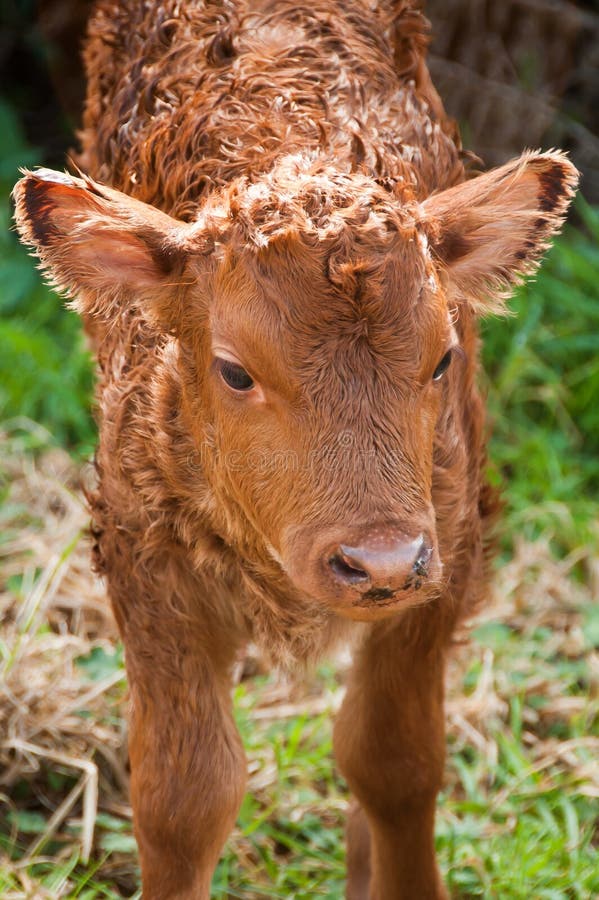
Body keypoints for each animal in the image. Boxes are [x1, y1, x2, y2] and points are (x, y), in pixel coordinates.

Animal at [13, 1, 578, 896]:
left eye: (443, 358)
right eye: (234, 371)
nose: (377, 561)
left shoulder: (448, 553)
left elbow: (393, 761)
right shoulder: (146, 567)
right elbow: (183, 798)